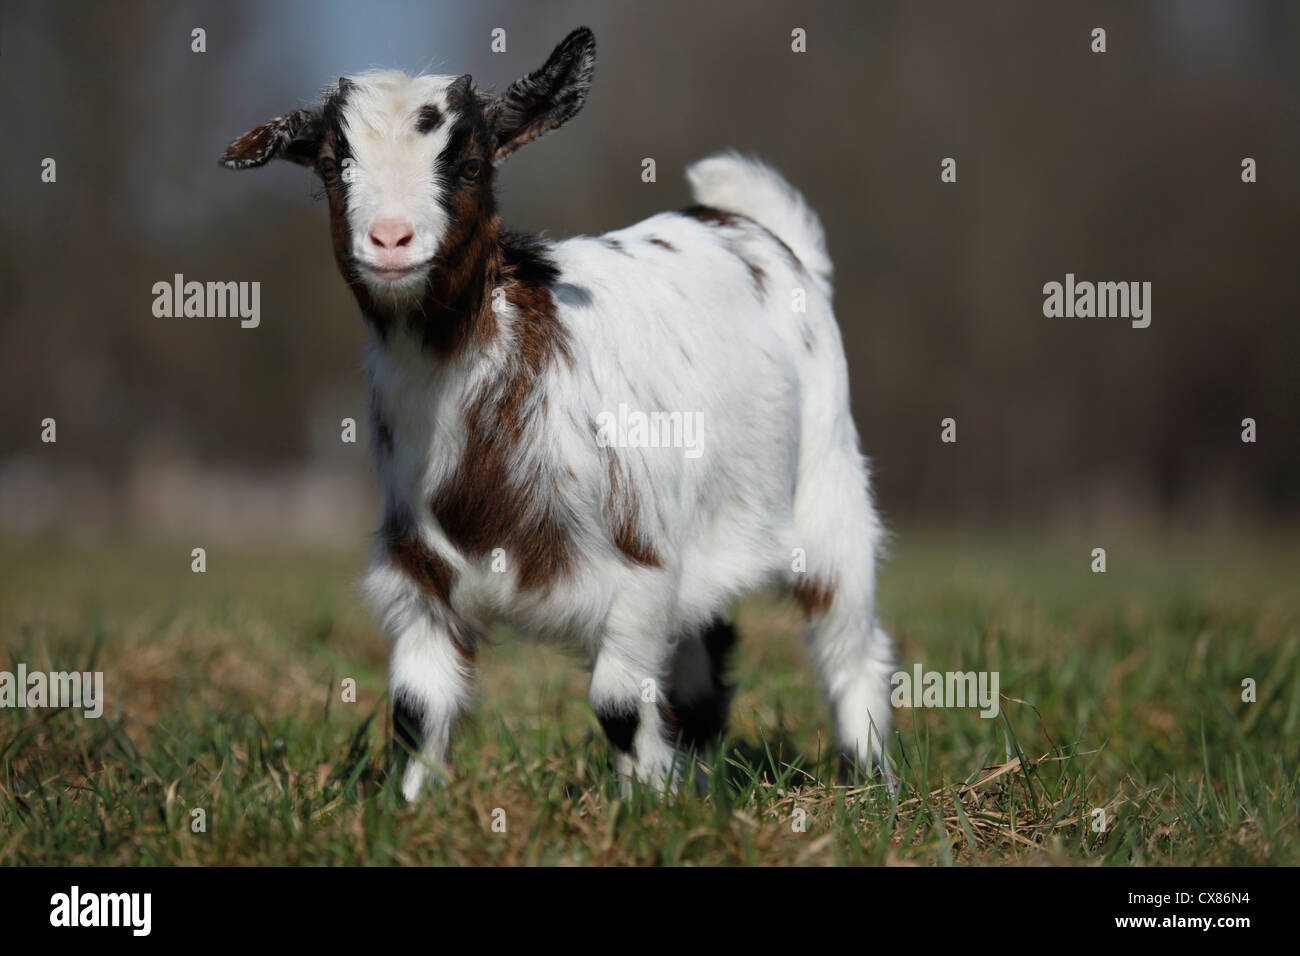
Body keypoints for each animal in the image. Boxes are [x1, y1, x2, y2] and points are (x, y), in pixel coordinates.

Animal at [221, 26, 895, 800]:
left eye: (472, 164)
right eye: (334, 166)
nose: (390, 239)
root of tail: (756, 228)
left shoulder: (641, 567)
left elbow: (618, 703)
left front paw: (645, 808)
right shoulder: (419, 577)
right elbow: (417, 709)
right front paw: (410, 809)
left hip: (829, 491)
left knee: (851, 644)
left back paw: (871, 780)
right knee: (706, 653)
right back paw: (702, 783)